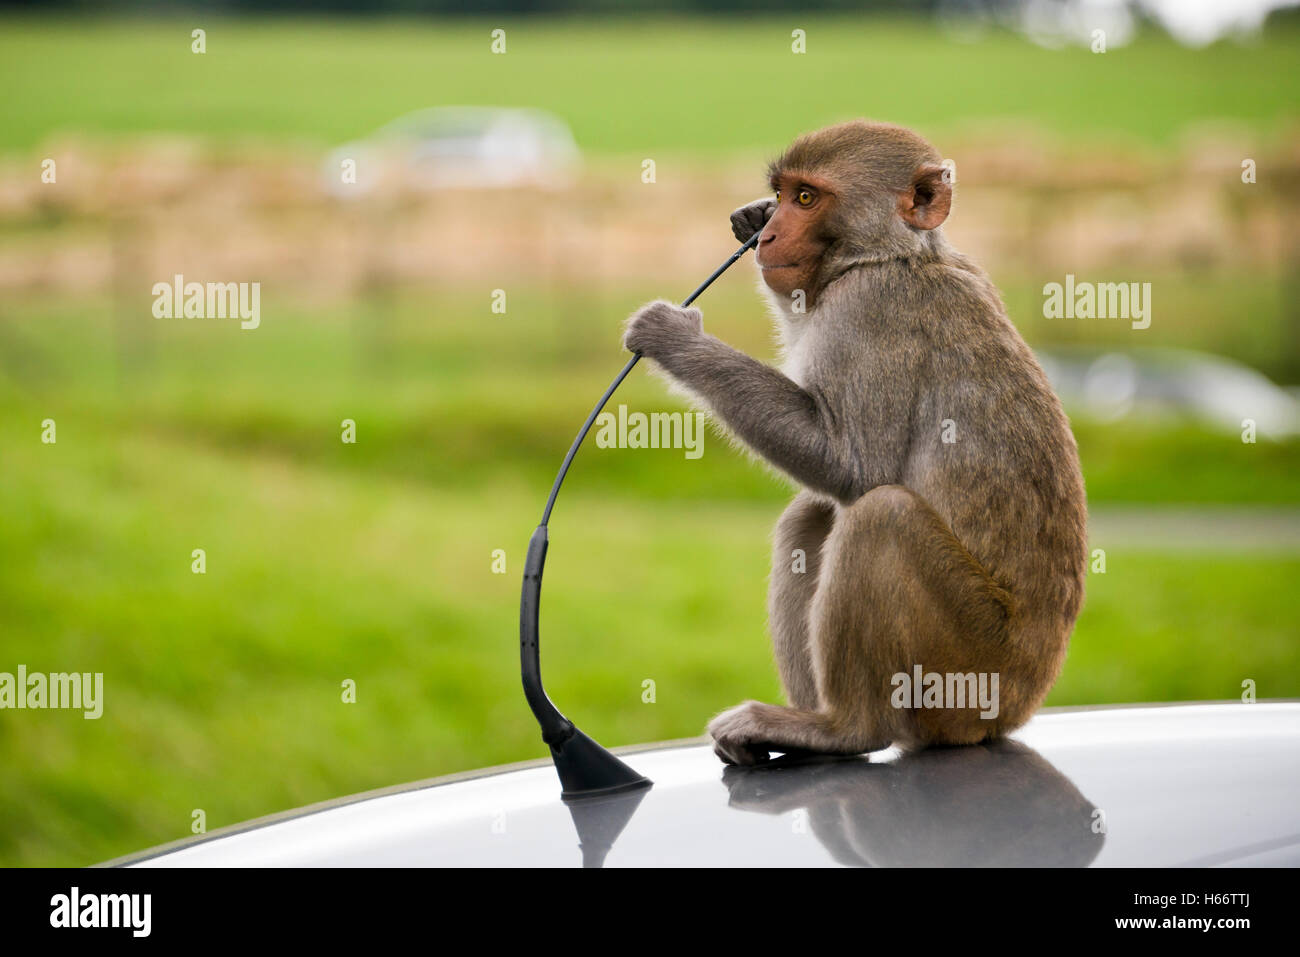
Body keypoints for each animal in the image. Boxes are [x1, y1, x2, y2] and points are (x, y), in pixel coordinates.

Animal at [621, 120, 1087, 765]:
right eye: (785, 194)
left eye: (807, 198)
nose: (770, 233)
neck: (895, 253)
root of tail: (1018, 707)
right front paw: (749, 218)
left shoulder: (870, 307)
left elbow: (852, 465)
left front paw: (674, 338)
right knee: (811, 516)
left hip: (968, 669)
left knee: (880, 515)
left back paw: (843, 729)